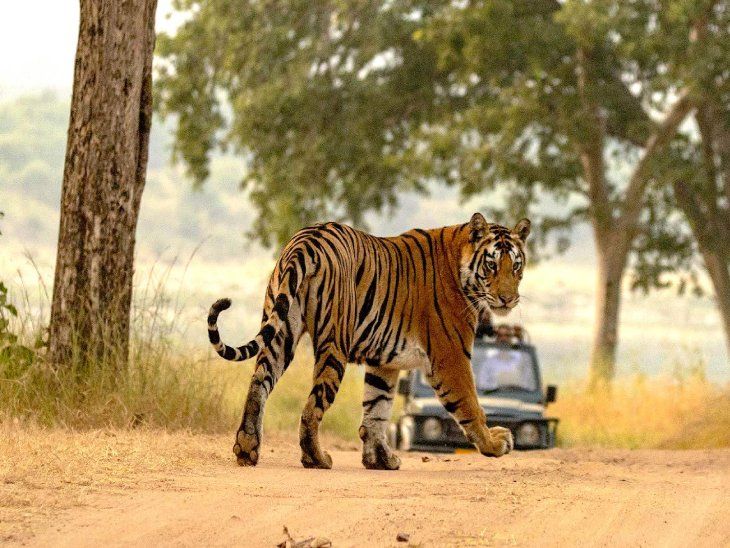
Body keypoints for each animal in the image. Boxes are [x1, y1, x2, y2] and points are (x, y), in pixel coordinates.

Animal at [207, 212, 531, 470]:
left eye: (515, 266)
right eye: (491, 266)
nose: (507, 299)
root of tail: (307, 240)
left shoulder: (385, 360)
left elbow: (377, 408)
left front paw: (380, 460)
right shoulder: (450, 356)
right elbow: (471, 405)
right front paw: (495, 444)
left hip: (281, 330)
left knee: (258, 383)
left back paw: (247, 448)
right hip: (334, 344)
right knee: (312, 407)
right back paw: (316, 458)